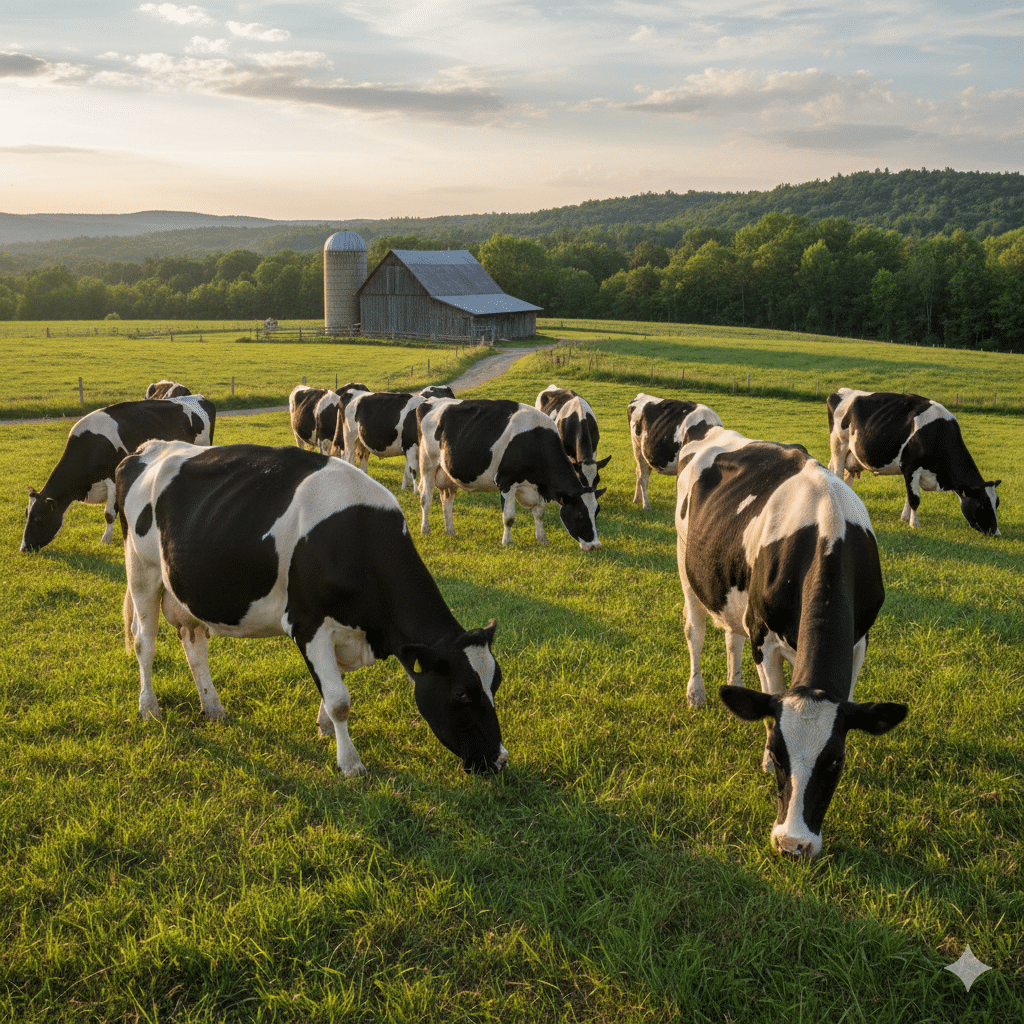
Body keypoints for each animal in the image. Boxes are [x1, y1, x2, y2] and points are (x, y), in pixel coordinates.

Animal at [21, 396, 216, 552]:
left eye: (38, 519)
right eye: (26, 515)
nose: (23, 548)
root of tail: (199, 397)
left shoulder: (114, 478)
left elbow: (109, 513)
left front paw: (106, 540)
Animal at [115, 441, 508, 776]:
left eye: (497, 682)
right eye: (461, 693)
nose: (499, 759)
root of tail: (148, 449)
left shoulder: (343, 629)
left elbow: (334, 686)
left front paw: (324, 728)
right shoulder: (307, 624)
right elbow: (339, 699)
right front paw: (350, 763)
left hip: (185, 587)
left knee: (194, 645)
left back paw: (213, 708)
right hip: (142, 571)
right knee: (144, 642)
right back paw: (149, 708)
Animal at [417, 398, 603, 550]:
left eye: (596, 512)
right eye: (579, 514)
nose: (595, 546)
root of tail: (430, 402)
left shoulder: (537, 486)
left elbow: (539, 513)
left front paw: (542, 539)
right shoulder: (505, 482)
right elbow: (509, 517)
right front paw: (507, 542)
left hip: (447, 474)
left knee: (447, 500)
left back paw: (450, 530)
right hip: (427, 463)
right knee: (425, 498)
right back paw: (425, 529)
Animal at [675, 425, 907, 859]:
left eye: (835, 761)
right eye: (778, 752)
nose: (793, 844)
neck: (827, 531)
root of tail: (711, 429)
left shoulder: (860, 641)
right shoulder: (764, 638)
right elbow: (772, 698)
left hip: (734, 592)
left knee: (731, 637)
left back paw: (733, 682)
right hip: (688, 570)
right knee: (695, 631)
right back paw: (696, 693)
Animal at [827, 388, 1001, 535]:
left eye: (997, 503)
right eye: (983, 504)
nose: (996, 532)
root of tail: (840, 392)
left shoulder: (911, 471)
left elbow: (908, 494)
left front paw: (905, 518)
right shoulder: (911, 466)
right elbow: (914, 499)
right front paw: (914, 524)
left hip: (851, 457)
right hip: (839, 446)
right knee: (837, 474)